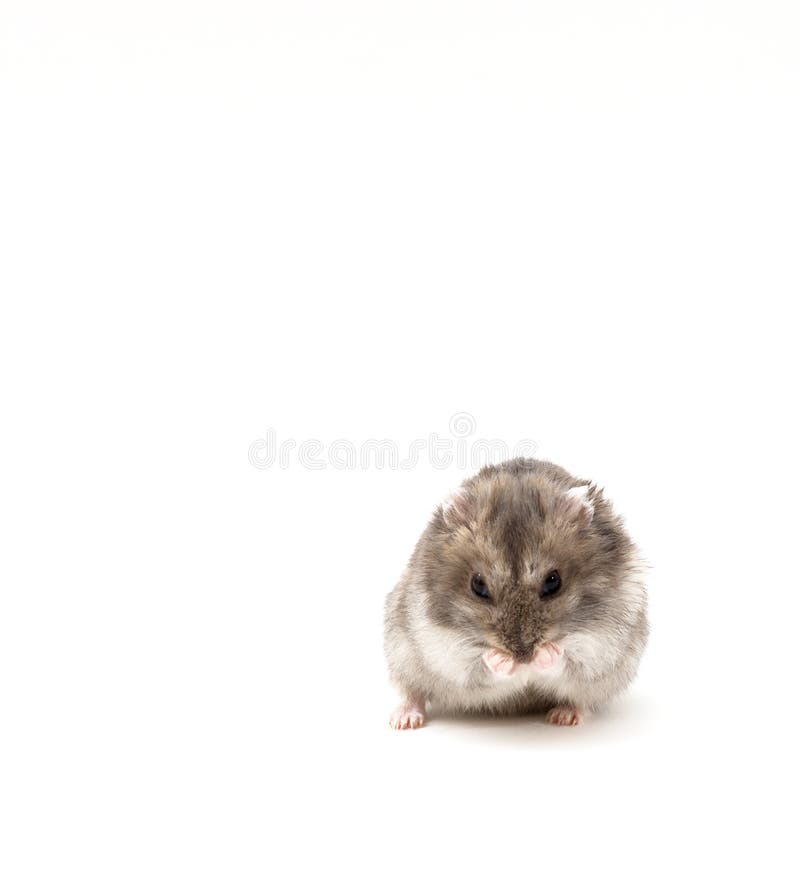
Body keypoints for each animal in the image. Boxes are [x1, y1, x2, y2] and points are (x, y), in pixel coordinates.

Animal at [384, 458, 648, 729]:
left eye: (553, 582)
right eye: (478, 585)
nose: (523, 657)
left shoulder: (600, 645)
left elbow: (566, 659)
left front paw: (545, 653)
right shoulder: (446, 649)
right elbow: (481, 663)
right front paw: (504, 660)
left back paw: (564, 716)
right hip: (403, 656)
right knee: (412, 691)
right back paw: (403, 721)